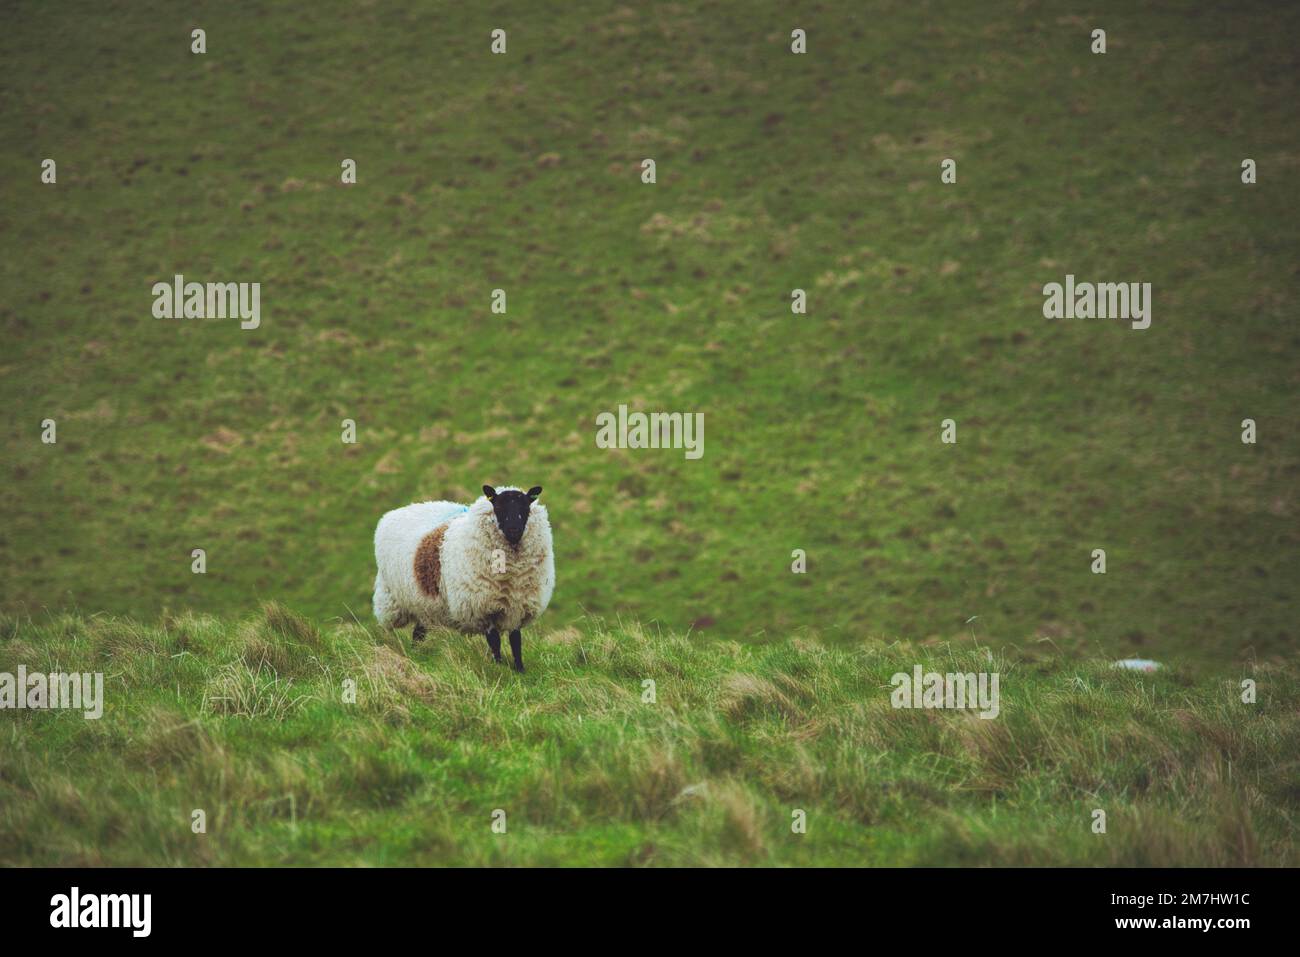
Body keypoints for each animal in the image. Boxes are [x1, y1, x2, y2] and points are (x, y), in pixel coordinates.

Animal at [372, 484, 553, 672]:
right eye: (498, 506)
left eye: (526, 506)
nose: (514, 529)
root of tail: (395, 512)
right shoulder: (482, 607)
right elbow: (495, 641)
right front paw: (498, 666)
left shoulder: (518, 607)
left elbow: (516, 641)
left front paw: (520, 669)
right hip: (395, 599)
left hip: (424, 605)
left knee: (418, 632)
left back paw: (417, 652)